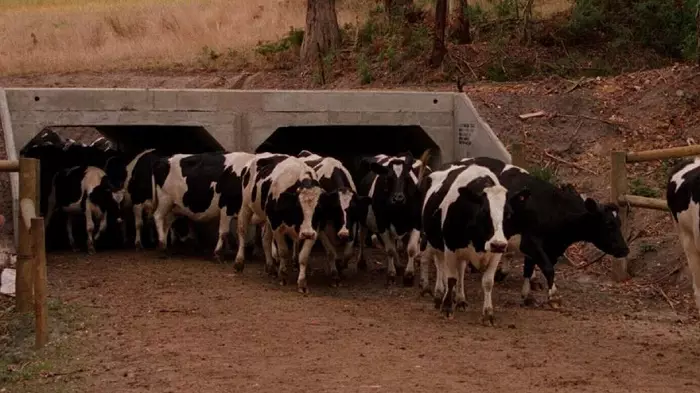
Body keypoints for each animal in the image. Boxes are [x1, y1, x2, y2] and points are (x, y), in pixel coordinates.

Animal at [231, 152, 326, 290]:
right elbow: (283, 251)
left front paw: (302, 283)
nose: (307, 233)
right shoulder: (276, 225)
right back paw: (239, 262)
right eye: (298, 206)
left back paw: (271, 267)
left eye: (318, 207)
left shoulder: (314, 229)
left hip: (267, 218)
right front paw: (283, 275)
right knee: (242, 230)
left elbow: (303, 256)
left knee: (265, 239)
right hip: (246, 206)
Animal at [358, 150, 430, 284]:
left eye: (407, 178)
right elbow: (390, 250)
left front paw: (409, 275)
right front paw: (391, 274)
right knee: (361, 236)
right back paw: (361, 262)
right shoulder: (382, 223)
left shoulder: (416, 223)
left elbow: (411, 249)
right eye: (388, 178)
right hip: (362, 218)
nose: (398, 198)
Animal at [418, 161, 528, 324]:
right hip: (433, 241)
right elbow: (451, 278)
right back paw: (438, 295)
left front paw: (488, 313)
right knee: (439, 265)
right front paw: (447, 308)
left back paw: (460, 299)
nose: (498, 244)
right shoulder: (450, 246)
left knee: (461, 271)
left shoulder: (495, 253)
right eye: (484, 212)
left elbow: (487, 282)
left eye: (508, 214)